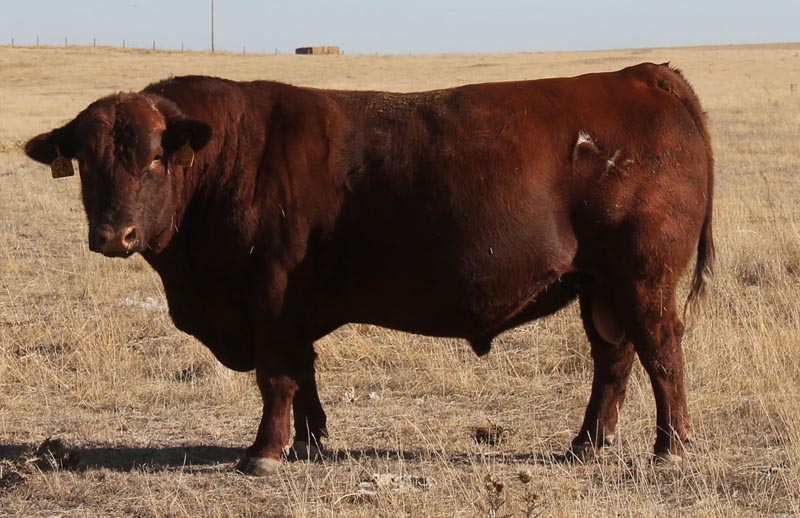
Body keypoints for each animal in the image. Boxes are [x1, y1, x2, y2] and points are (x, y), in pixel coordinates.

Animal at [25, 63, 714, 475]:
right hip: (600, 286)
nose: (113, 235)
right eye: (85, 161)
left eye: (152, 159)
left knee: (661, 351)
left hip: (643, 280)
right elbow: (303, 376)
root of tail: (639, 75)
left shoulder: (269, 298)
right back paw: (587, 444)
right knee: (614, 360)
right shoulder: (291, 310)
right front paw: (308, 441)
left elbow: (277, 378)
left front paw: (264, 452)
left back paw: (672, 446)